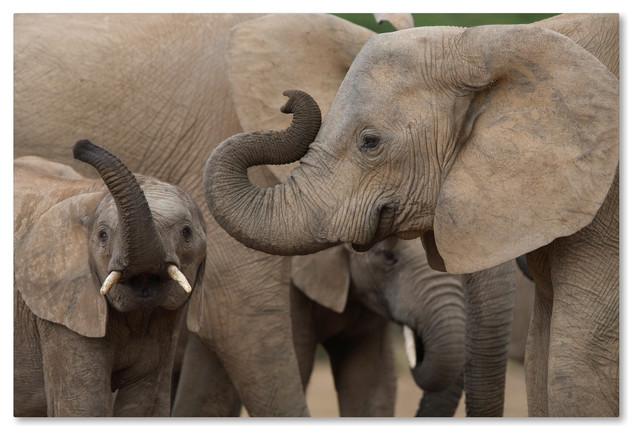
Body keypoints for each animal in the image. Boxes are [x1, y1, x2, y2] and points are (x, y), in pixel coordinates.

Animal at [14, 140, 207, 416]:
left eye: (186, 232)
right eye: (103, 235)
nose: (81, 145)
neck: (95, 194)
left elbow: (146, 403)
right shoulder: (59, 311)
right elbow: (83, 405)